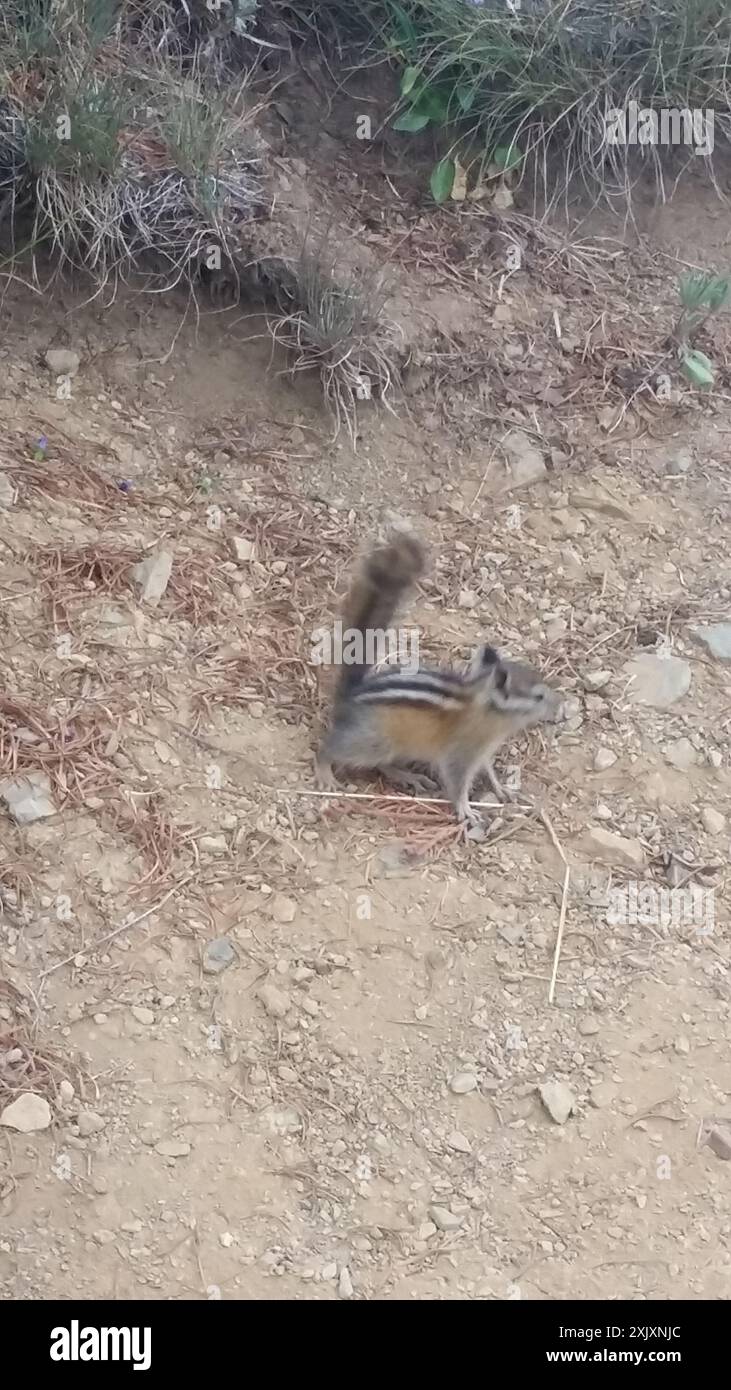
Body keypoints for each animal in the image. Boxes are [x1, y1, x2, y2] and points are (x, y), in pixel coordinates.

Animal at [315, 525, 561, 828]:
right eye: (539, 696)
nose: (558, 705)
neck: (487, 710)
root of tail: (348, 696)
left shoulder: (483, 752)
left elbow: (489, 770)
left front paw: (501, 787)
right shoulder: (461, 754)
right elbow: (457, 783)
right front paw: (466, 809)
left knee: (383, 765)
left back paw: (409, 776)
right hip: (373, 742)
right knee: (331, 748)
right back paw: (325, 771)